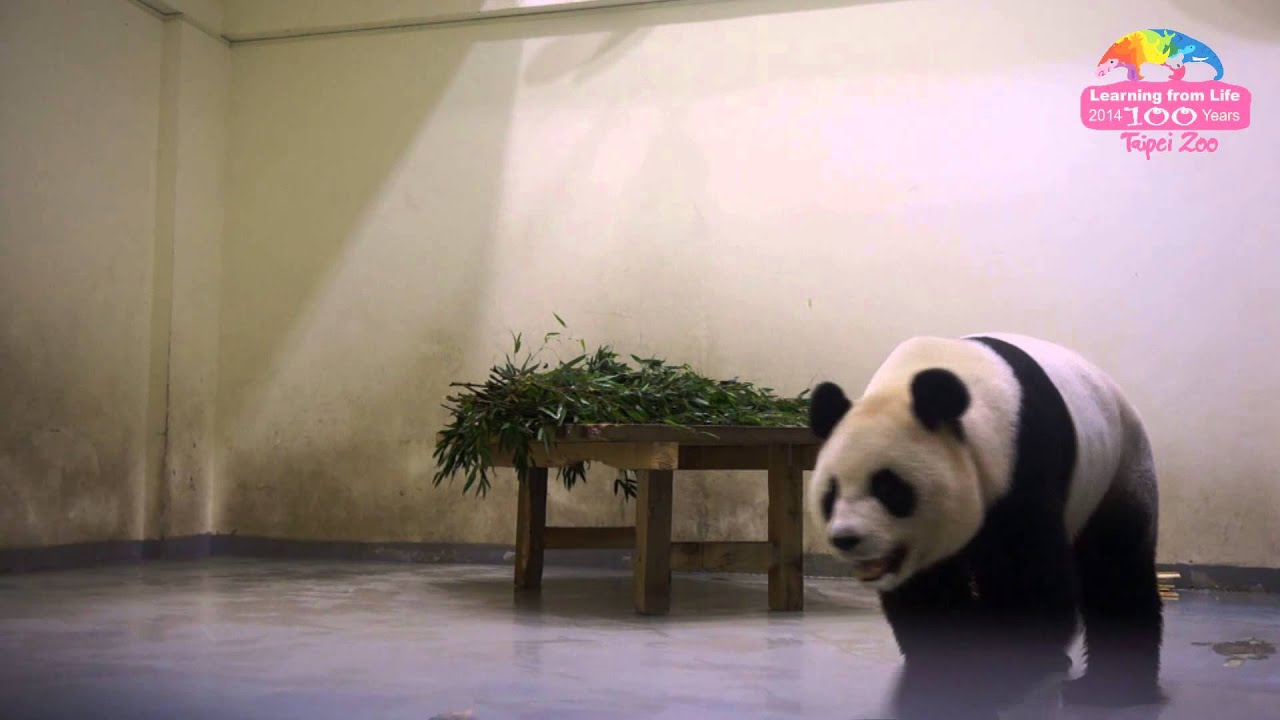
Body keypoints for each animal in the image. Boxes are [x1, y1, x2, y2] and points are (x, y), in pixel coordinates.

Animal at [807, 333, 1162, 716]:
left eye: (888, 488)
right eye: (831, 493)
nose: (847, 538)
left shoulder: (1023, 464)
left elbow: (1028, 583)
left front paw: (998, 675)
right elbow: (928, 596)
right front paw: (944, 676)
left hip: (1119, 469)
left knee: (1114, 568)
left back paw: (1109, 688)